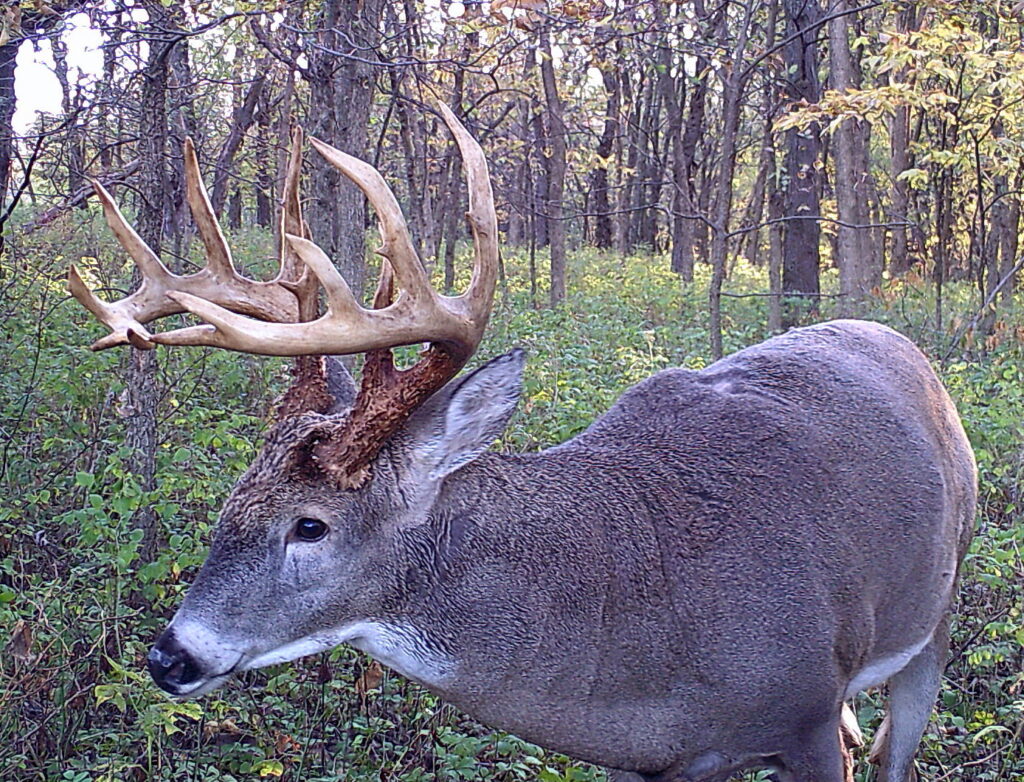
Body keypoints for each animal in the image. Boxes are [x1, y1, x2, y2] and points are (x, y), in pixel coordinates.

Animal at [69, 104, 976, 782]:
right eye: (232, 499)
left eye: (311, 525)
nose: (170, 658)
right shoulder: (648, 762)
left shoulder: (806, 716)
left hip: (938, 607)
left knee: (896, 747)